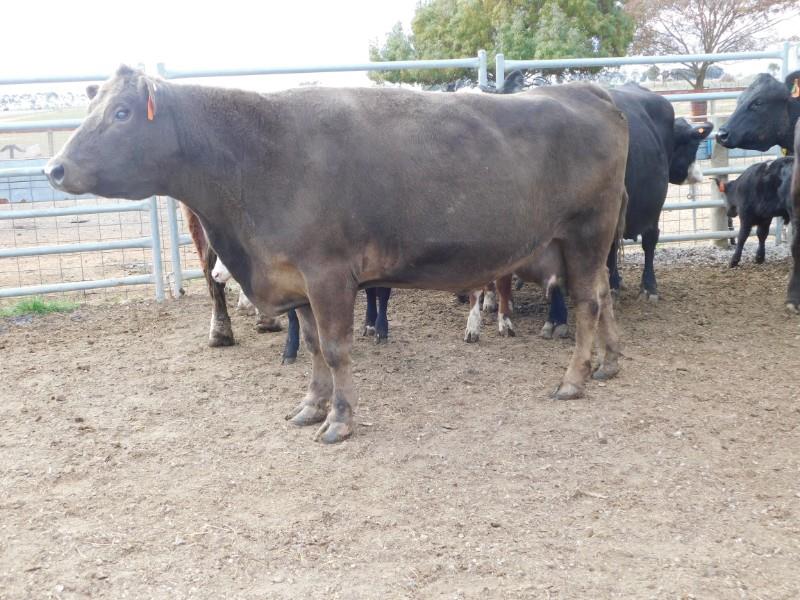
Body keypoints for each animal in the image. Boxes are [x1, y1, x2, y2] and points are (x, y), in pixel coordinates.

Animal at [45, 66, 629, 443]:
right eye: (94, 107)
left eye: (122, 112)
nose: (54, 167)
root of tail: (590, 92)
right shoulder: (294, 277)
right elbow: (311, 349)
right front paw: (310, 406)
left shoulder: (328, 273)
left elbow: (335, 348)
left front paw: (341, 420)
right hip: (581, 244)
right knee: (603, 296)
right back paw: (609, 363)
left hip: (585, 232)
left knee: (586, 303)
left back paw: (574, 379)